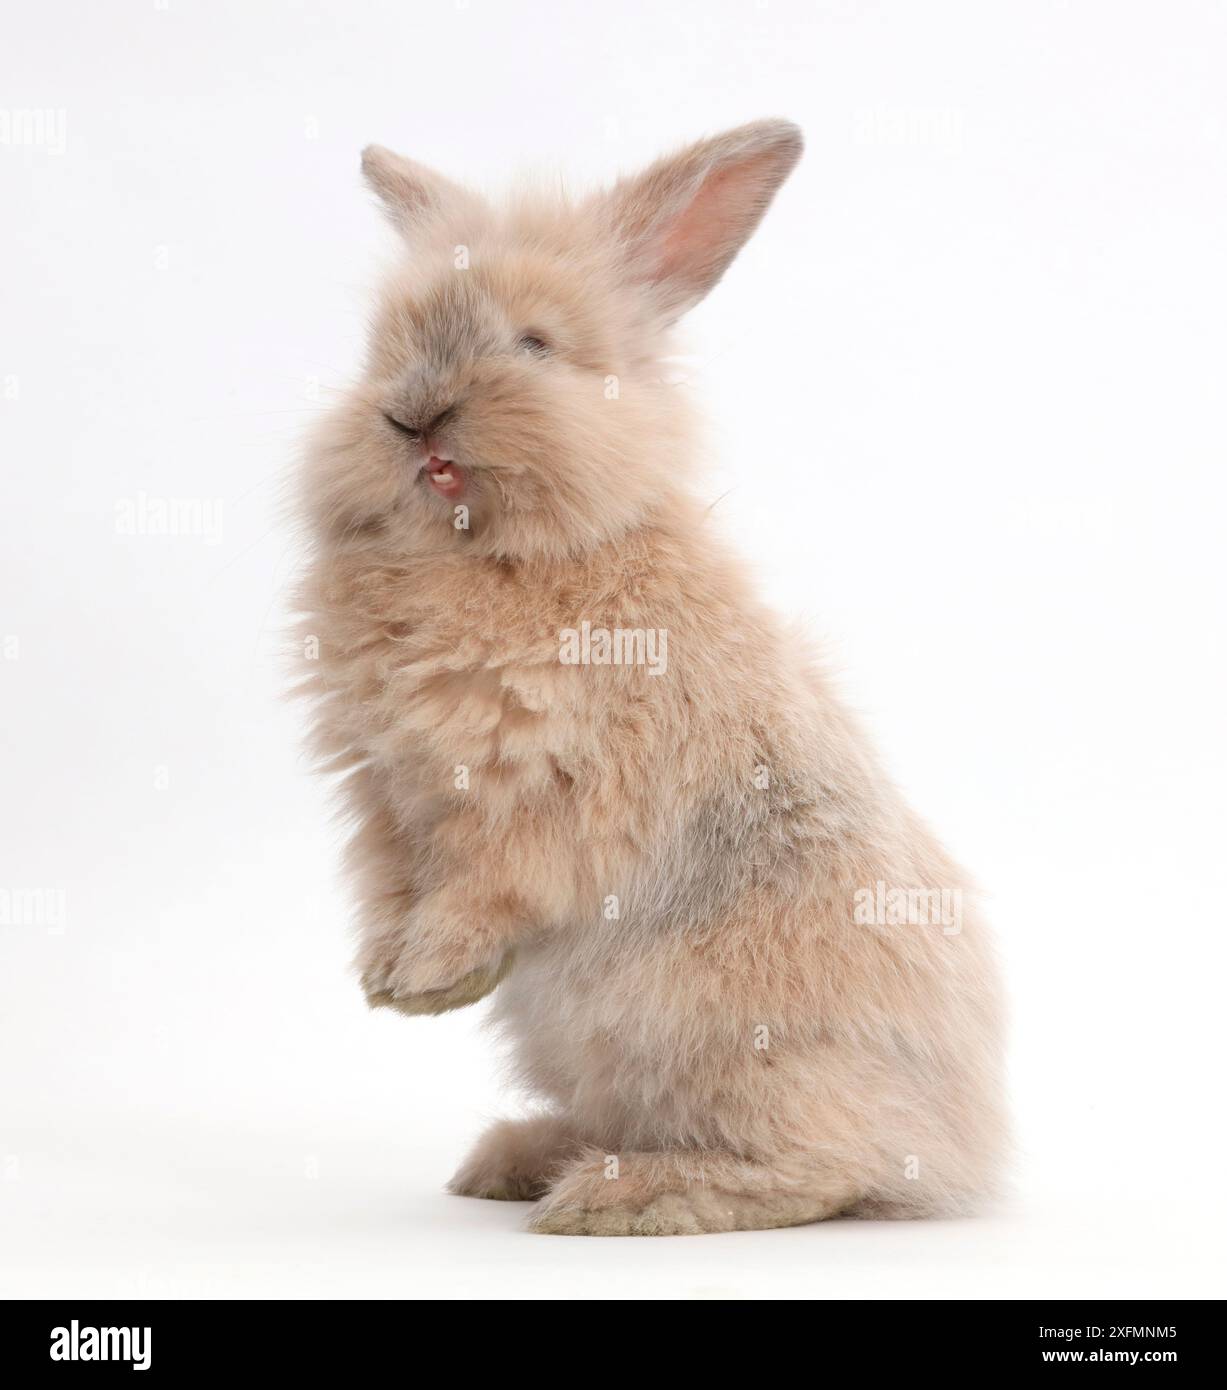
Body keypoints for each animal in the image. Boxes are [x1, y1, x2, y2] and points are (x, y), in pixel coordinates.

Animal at [294, 119, 1007, 1236]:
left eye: (535, 345)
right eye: (385, 346)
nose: (414, 419)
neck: (490, 556)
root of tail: (961, 1144)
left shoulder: (556, 794)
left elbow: (490, 881)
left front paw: (432, 974)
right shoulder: (380, 791)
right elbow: (389, 879)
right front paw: (384, 978)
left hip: (734, 1047)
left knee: (821, 1171)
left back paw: (613, 1195)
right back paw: (514, 1158)